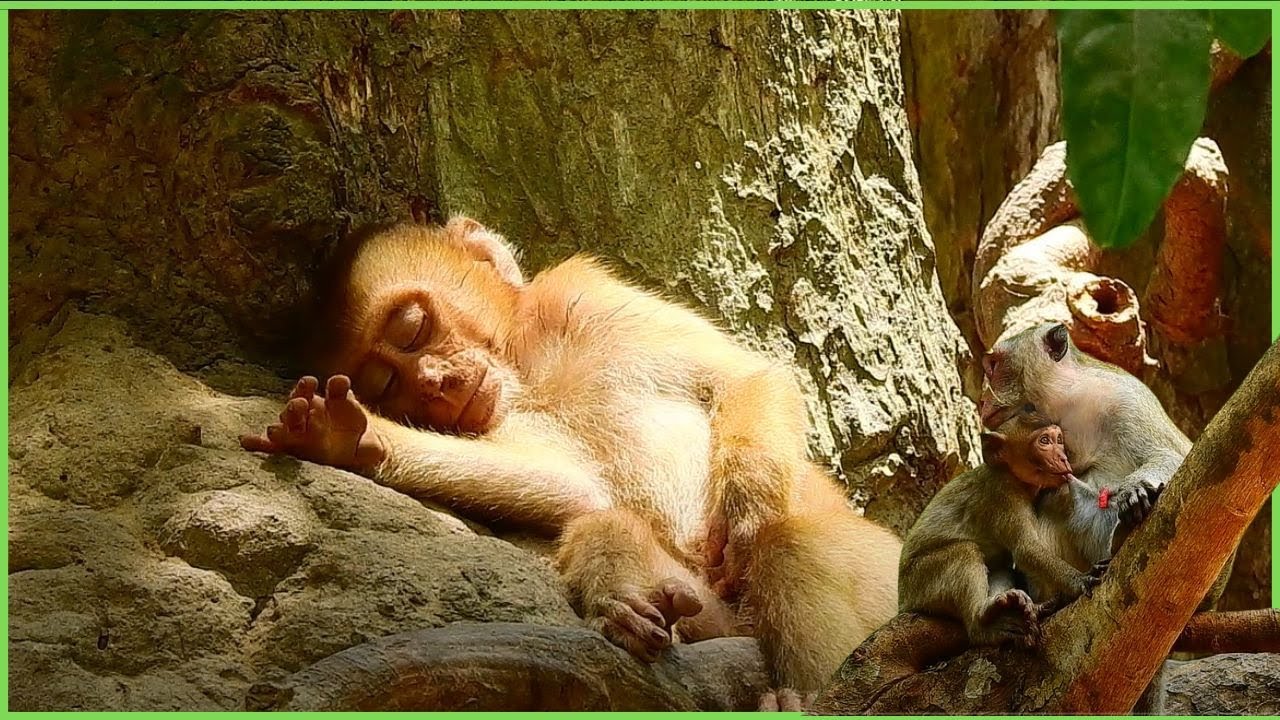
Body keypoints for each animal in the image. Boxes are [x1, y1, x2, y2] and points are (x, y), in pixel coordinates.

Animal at [240, 218, 901, 711]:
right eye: (386, 384)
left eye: (413, 329)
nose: (433, 384)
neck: (527, 364)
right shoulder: (501, 409)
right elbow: (577, 489)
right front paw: (348, 440)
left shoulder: (589, 297)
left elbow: (745, 378)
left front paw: (748, 502)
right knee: (612, 531)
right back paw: (631, 607)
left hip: (885, 574)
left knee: (789, 542)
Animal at [897, 411, 1101, 647]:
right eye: (1044, 441)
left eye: (1059, 439)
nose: (1063, 457)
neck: (1012, 475)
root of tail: (902, 603)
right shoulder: (1003, 494)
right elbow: (1026, 549)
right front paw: (1081, 580)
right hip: (919, 584)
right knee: (964, 551)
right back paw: (980, 622)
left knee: (1000, 566)